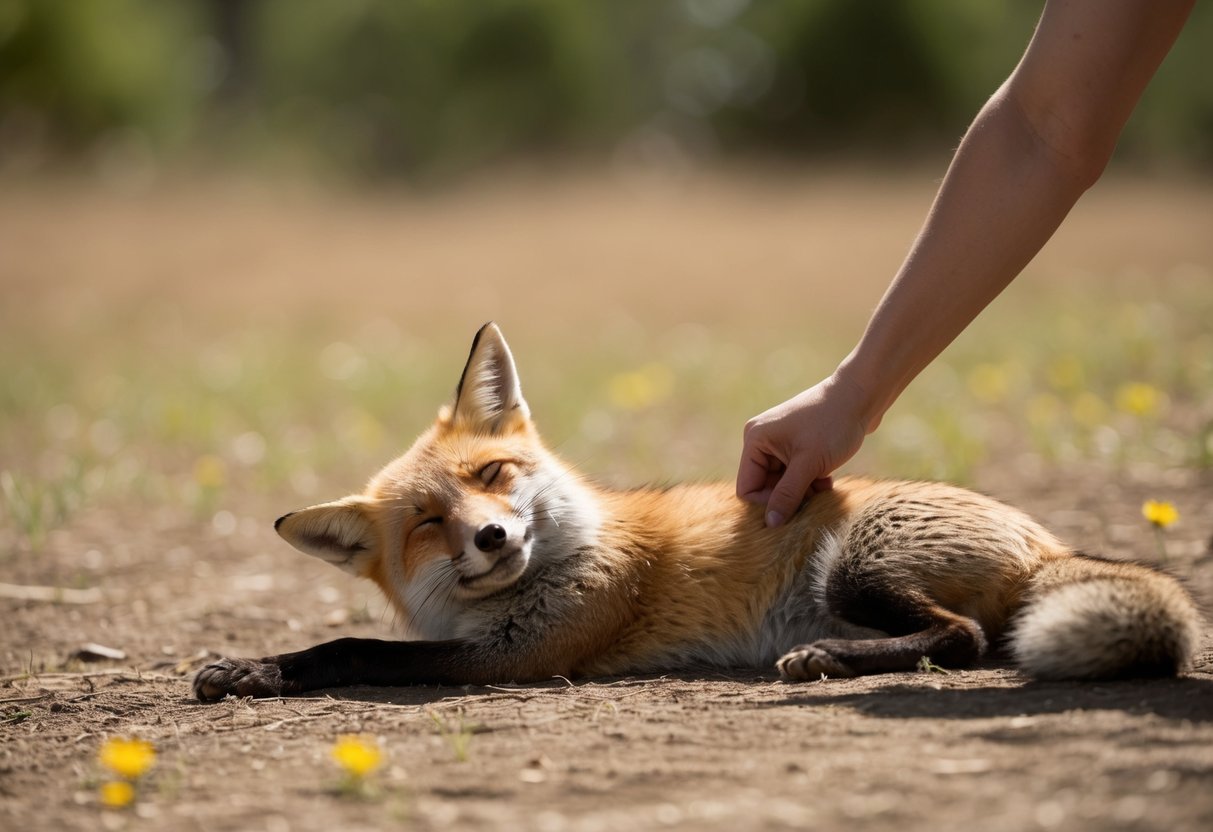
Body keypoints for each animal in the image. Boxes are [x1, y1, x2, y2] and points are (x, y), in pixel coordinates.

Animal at [194, 323, 1202, 701]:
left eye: (491, 472)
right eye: (425, 527)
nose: (489, 534)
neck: (575, 554)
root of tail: (1043, 540)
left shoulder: (523, 656)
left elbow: (351, 649)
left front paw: (253, 669)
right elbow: (340, 643)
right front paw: (250, 667)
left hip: (855, 569)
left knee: (963, 639)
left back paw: (828, 659)